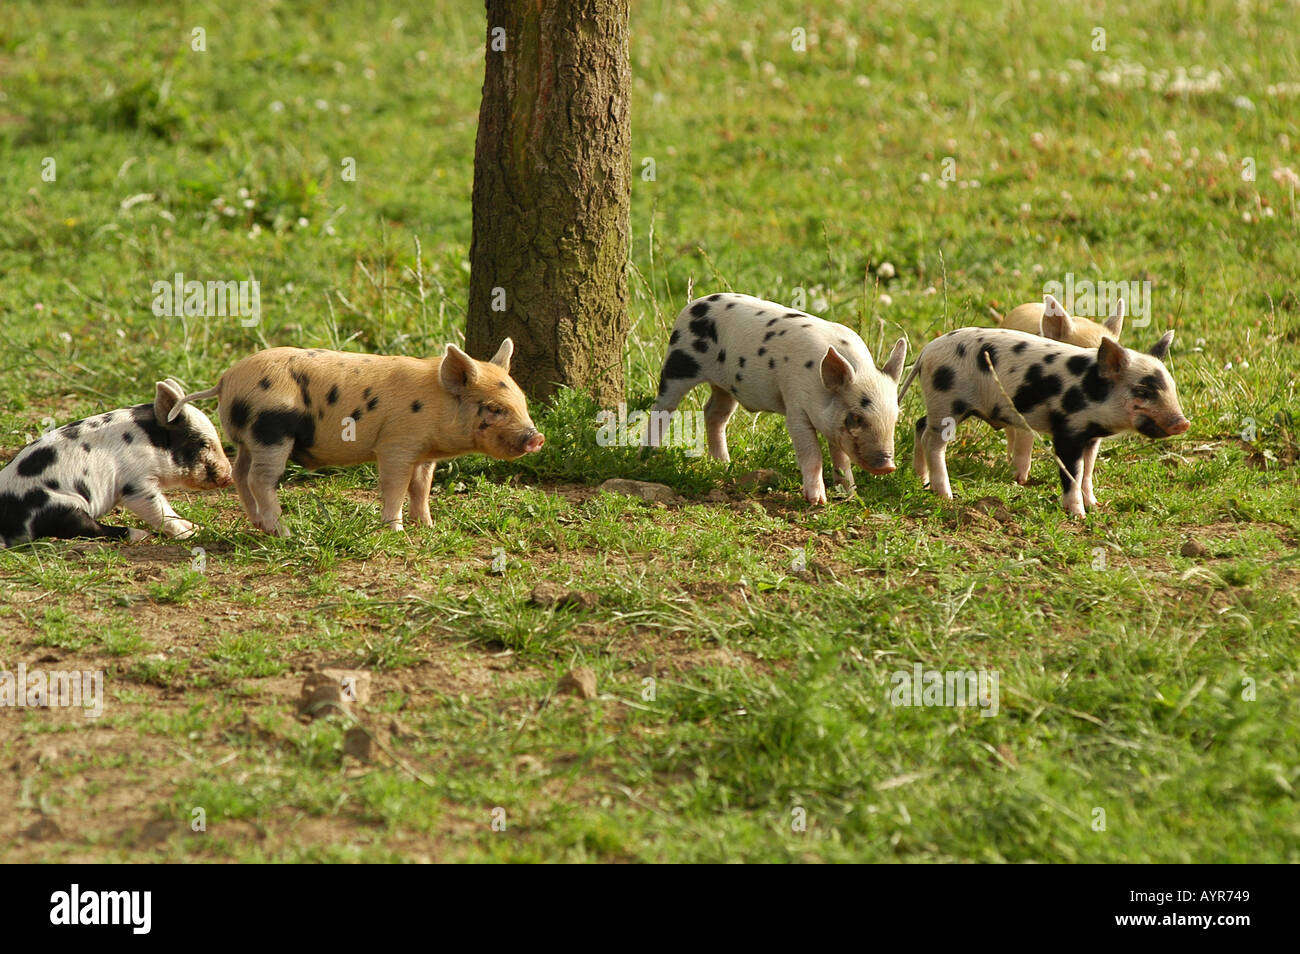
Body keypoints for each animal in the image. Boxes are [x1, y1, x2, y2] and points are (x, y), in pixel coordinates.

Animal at [0, 380, 233, 547]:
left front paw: (197, 528)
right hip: (59, 506)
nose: (228, 476)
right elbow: (158, 507)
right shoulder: (136, 482)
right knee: (88, 529)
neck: (152, 442)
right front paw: (191, 531)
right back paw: (143, 535)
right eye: (203, 444)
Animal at [166, 340, 543, 536]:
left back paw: (261, 525)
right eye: (494, 408)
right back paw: (285, 532)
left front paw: (429, 527)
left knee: (241, 474)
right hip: (271, 431)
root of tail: (226, 380)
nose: (536, 438)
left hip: (249, 438)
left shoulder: (424, 453)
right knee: (260, 479)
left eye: (522, 402)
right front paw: (396, 531)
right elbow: (395, 486)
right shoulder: (396, 444)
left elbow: (421, 487)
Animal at [644, 293, 908, 504]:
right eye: (856, 417)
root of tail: (695, 304)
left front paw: (851, 495)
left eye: (895, 419)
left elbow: (841, 459)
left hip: (725, 387)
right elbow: (812, 453)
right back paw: (648, 457)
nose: (888, 466)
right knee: (661, 409)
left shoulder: (833, 425)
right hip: (679, 364)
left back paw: (723, 464)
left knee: (714, 414)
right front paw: (817, 501)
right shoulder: (796, 406)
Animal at [898, 327, 1189, 516]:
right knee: (933, 442)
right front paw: (1079, 515)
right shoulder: (1067, 430)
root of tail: (927, 351)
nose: (1183, 423)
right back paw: (946, 496)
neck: (1092, 394)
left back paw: (921, 479)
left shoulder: (1091, 436)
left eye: (1172, 387)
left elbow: (1088, 472)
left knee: (920, 424)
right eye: (1143, 391)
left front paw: (1095, 505)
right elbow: (1073, 473)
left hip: (940, 404)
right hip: (948, 401)